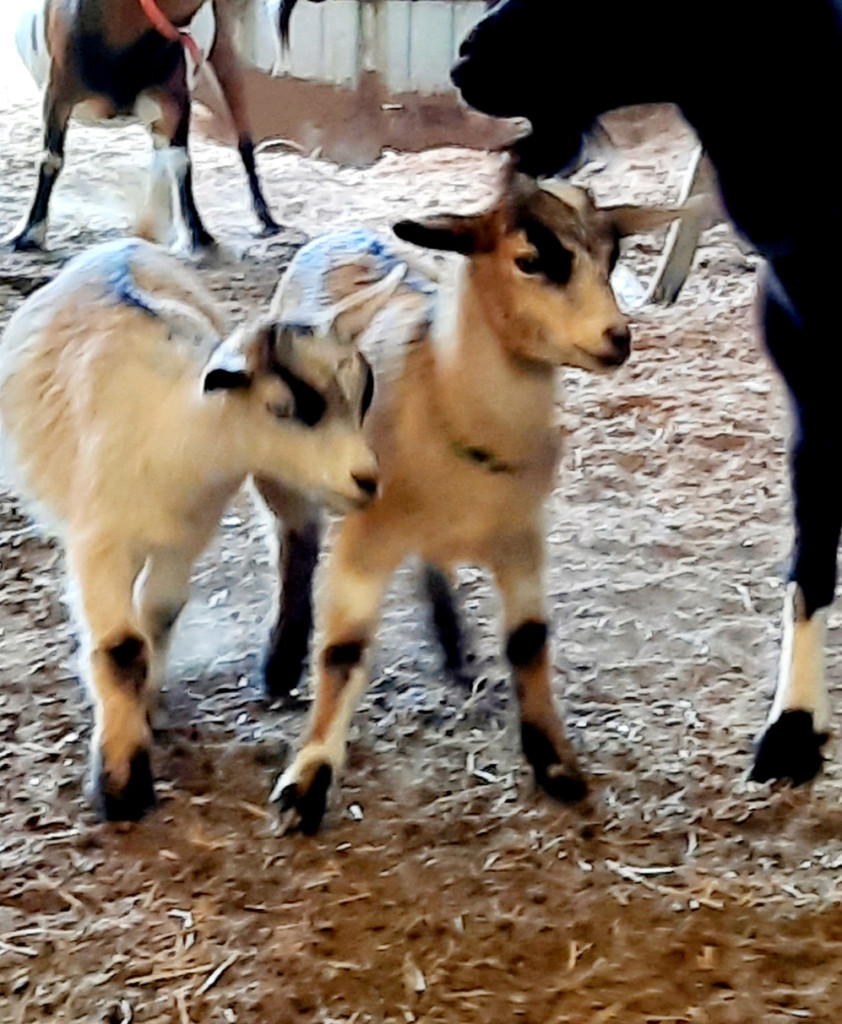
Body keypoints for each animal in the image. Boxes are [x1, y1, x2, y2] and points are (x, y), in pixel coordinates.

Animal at [0, 237, 379, 821]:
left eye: (363, 394)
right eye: (283, 408)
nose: (366, 479)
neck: (171, 434)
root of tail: (125, 241)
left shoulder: (185, 538)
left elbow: (157, 615)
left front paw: (145, 711)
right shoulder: (99, 543)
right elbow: (120, 648)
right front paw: (122, 787)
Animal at [7, 0, 277, 252]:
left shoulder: (176, 98)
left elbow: (181, 161)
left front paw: (197, 234)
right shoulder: (57, 94)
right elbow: (51, 159)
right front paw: (29, 234)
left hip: (222, 51)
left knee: (242, 140)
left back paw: (266, 220)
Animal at [266, 168, 687, 832]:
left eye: (611, 256)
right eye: (530, 260)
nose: (617, 339)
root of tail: (341, 234)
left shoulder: (521, 537)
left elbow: (529, 641)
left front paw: (554, 763)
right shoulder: (366, 539)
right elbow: (342, 652)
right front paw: (307, 781)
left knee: (431, 564)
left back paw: (453, 643)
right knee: (296, 544)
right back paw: (282, 661)